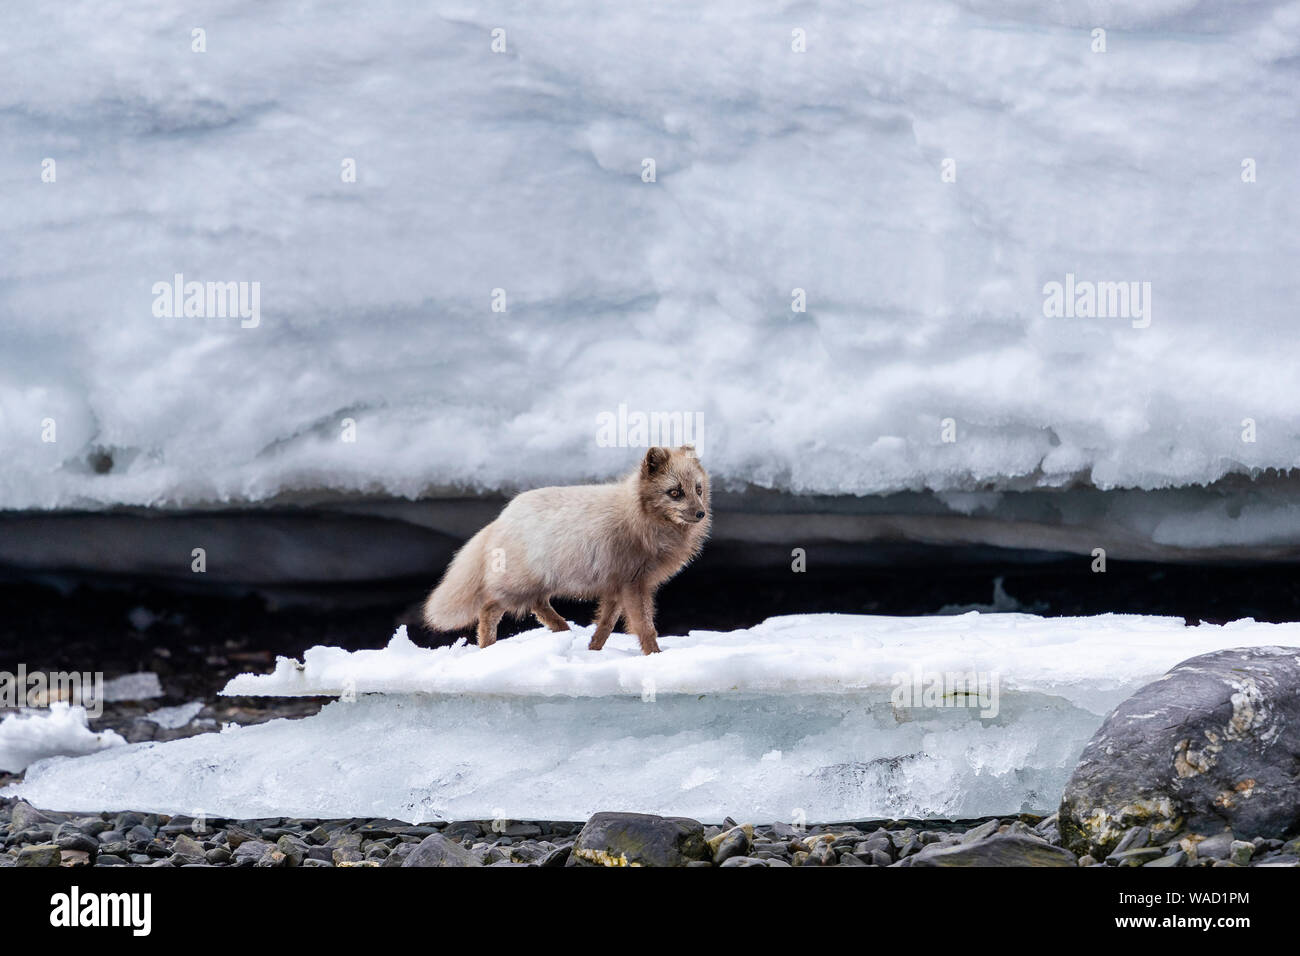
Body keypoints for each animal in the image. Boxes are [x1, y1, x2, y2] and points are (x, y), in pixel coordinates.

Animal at [422, 445, 710, 655]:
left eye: (698, 489)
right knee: (488, 609)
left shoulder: (618, 587)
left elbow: (605, 625)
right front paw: (655, 656)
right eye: (674, 492)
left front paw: (593, 650)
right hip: (517, 586)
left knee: (538, 606)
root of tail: (501, 519)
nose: (701, 514)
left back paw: (563, 631)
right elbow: (644, 627)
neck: (636, 518)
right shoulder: (632, 585)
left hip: (538, 584)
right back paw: (488, 648)